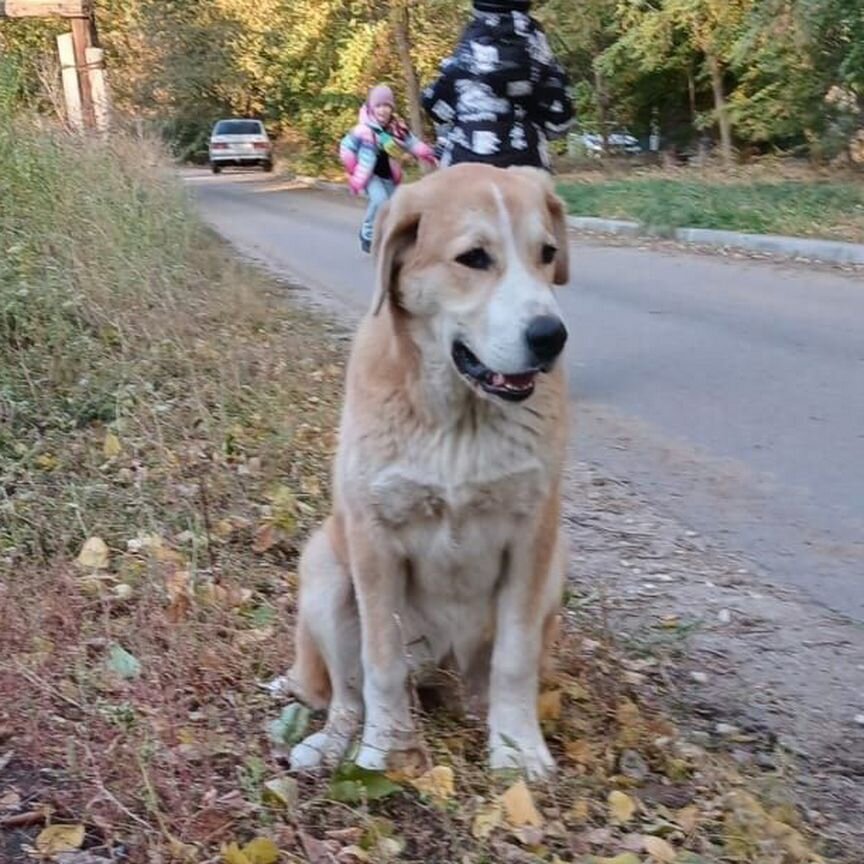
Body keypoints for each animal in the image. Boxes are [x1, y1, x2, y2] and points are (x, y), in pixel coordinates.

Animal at [286, 165, 572, 780]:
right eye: (474, 258)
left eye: (547, 253)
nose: (550, 336)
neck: (459, 422)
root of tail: (440, 674)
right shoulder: (373, 542)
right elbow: (380, 663)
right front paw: (385, 749)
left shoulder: (532, 539)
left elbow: (515, 660)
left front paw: (517, 748)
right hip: (325, 570)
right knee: (347, 696)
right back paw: (331, 745)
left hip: (553, 572)